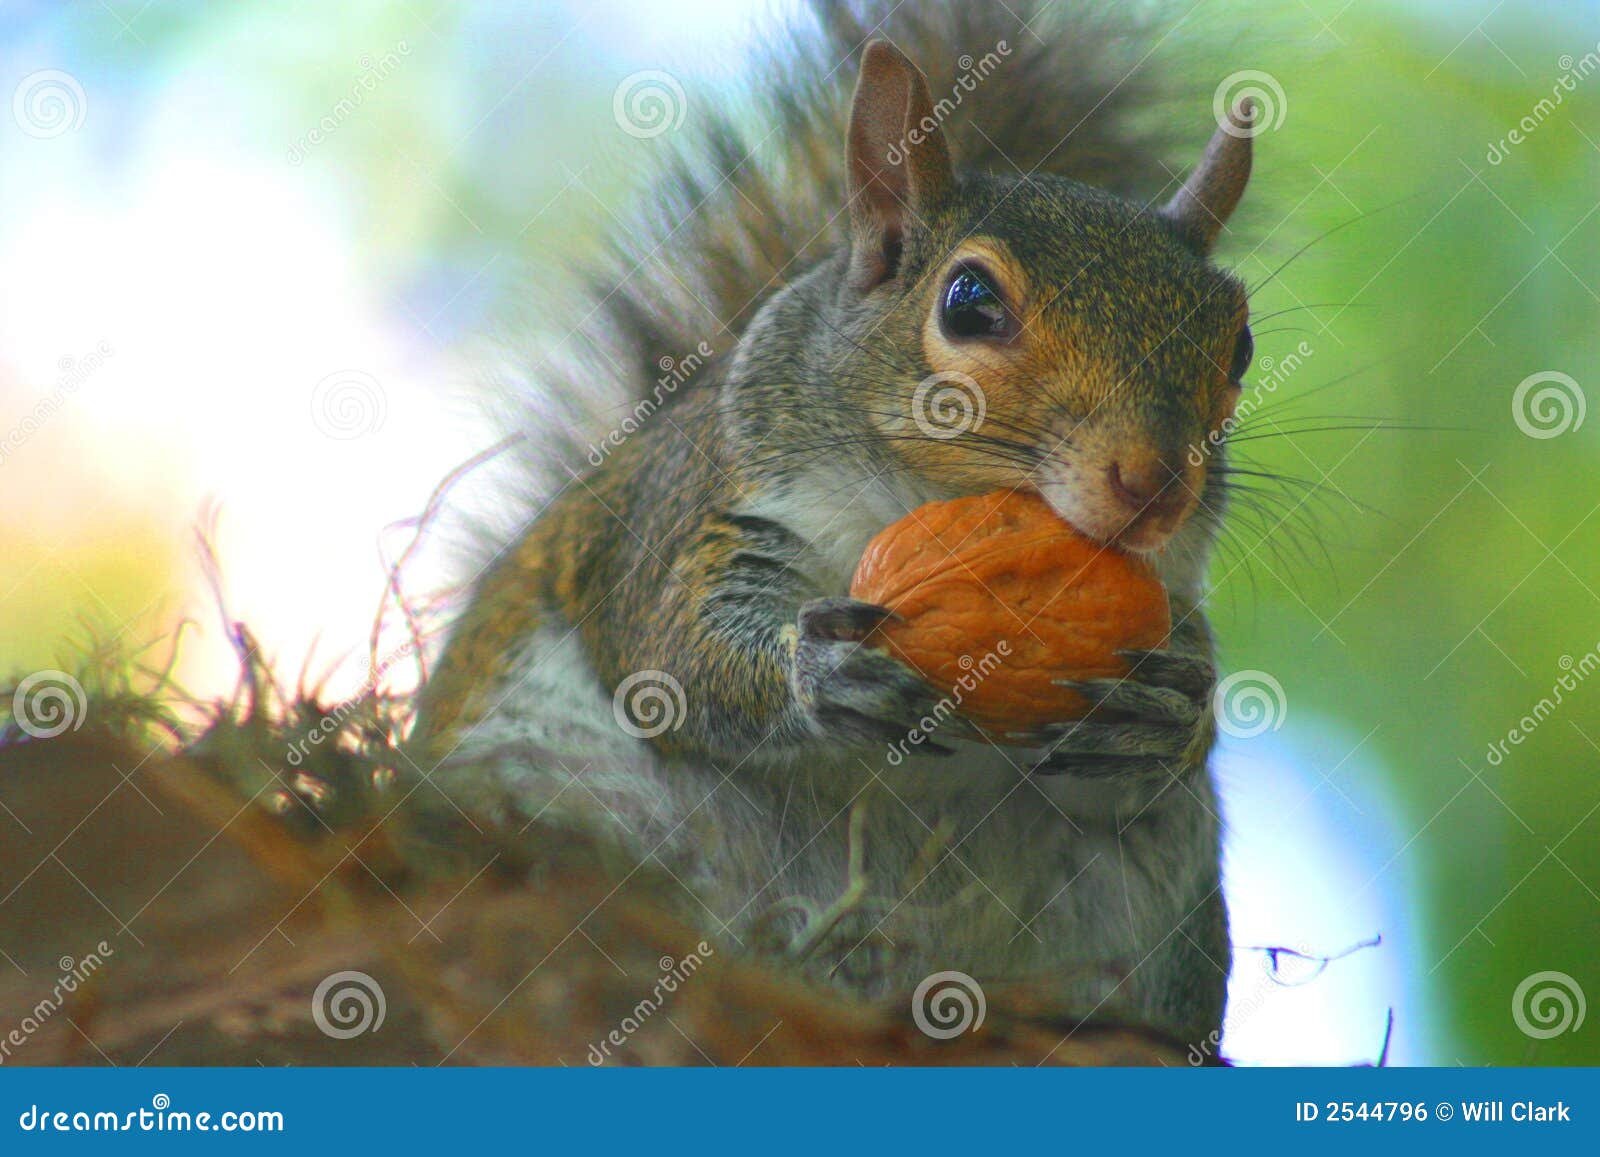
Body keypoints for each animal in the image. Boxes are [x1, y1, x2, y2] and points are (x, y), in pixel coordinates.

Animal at [409, 1, 1258, 1042]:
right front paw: (816, 670)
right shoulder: (697, 509)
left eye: (1240, 345)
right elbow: (670, 652)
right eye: (969, 302)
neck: (919, 503)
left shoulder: (1163, 595)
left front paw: (1173, 711)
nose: (1154, 484)